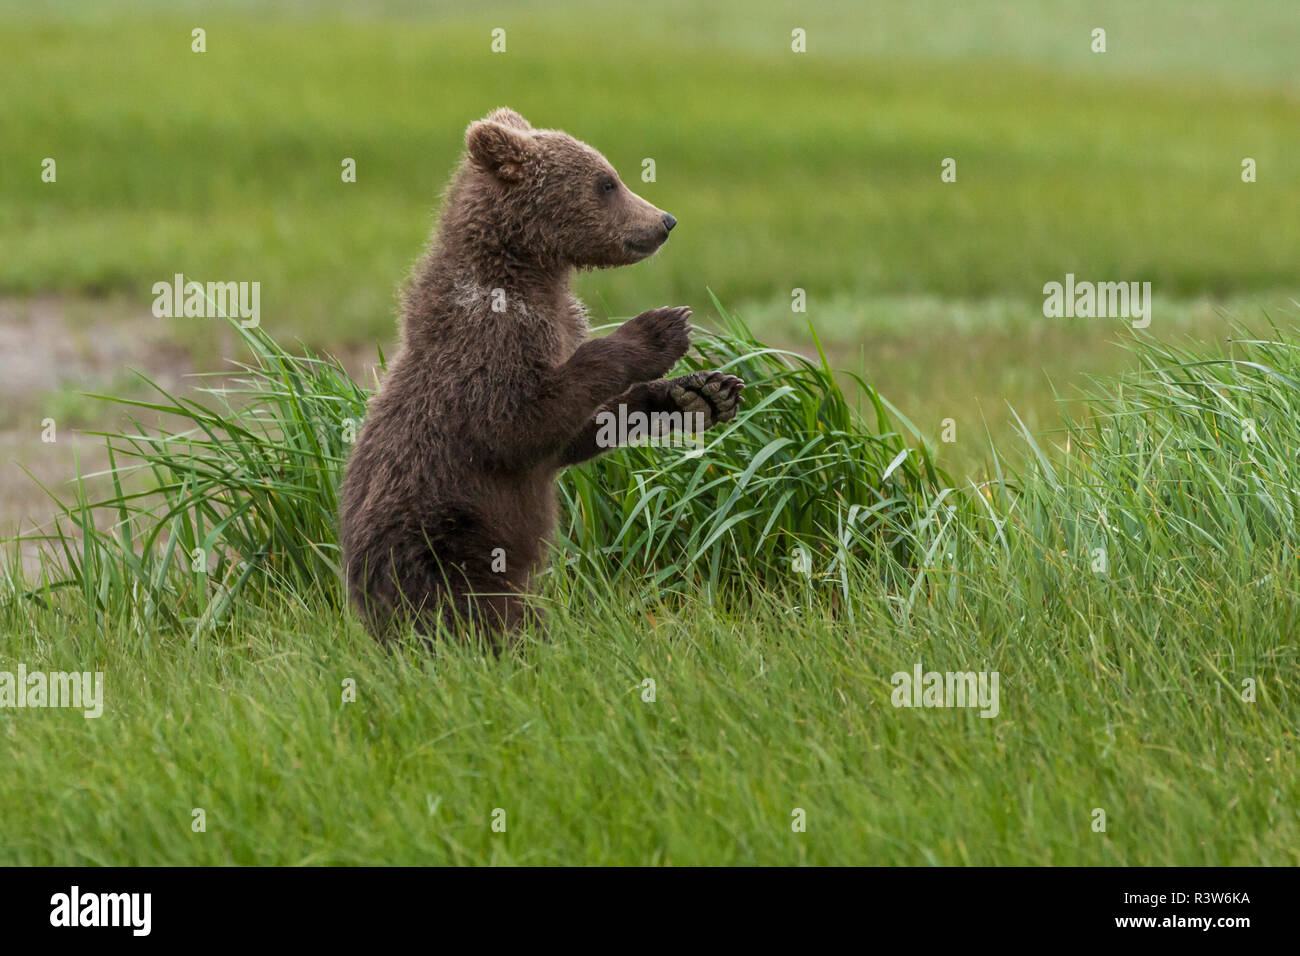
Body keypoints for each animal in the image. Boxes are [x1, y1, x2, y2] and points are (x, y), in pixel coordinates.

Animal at [339, 107, 744, 643]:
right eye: (606, 182)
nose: (665, 221)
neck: (530, 273)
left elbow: (577, 433)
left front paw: (700, 394)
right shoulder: (488, 344)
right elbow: (518, 424)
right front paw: (661, 328)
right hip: (445, 545)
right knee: (480, 612)